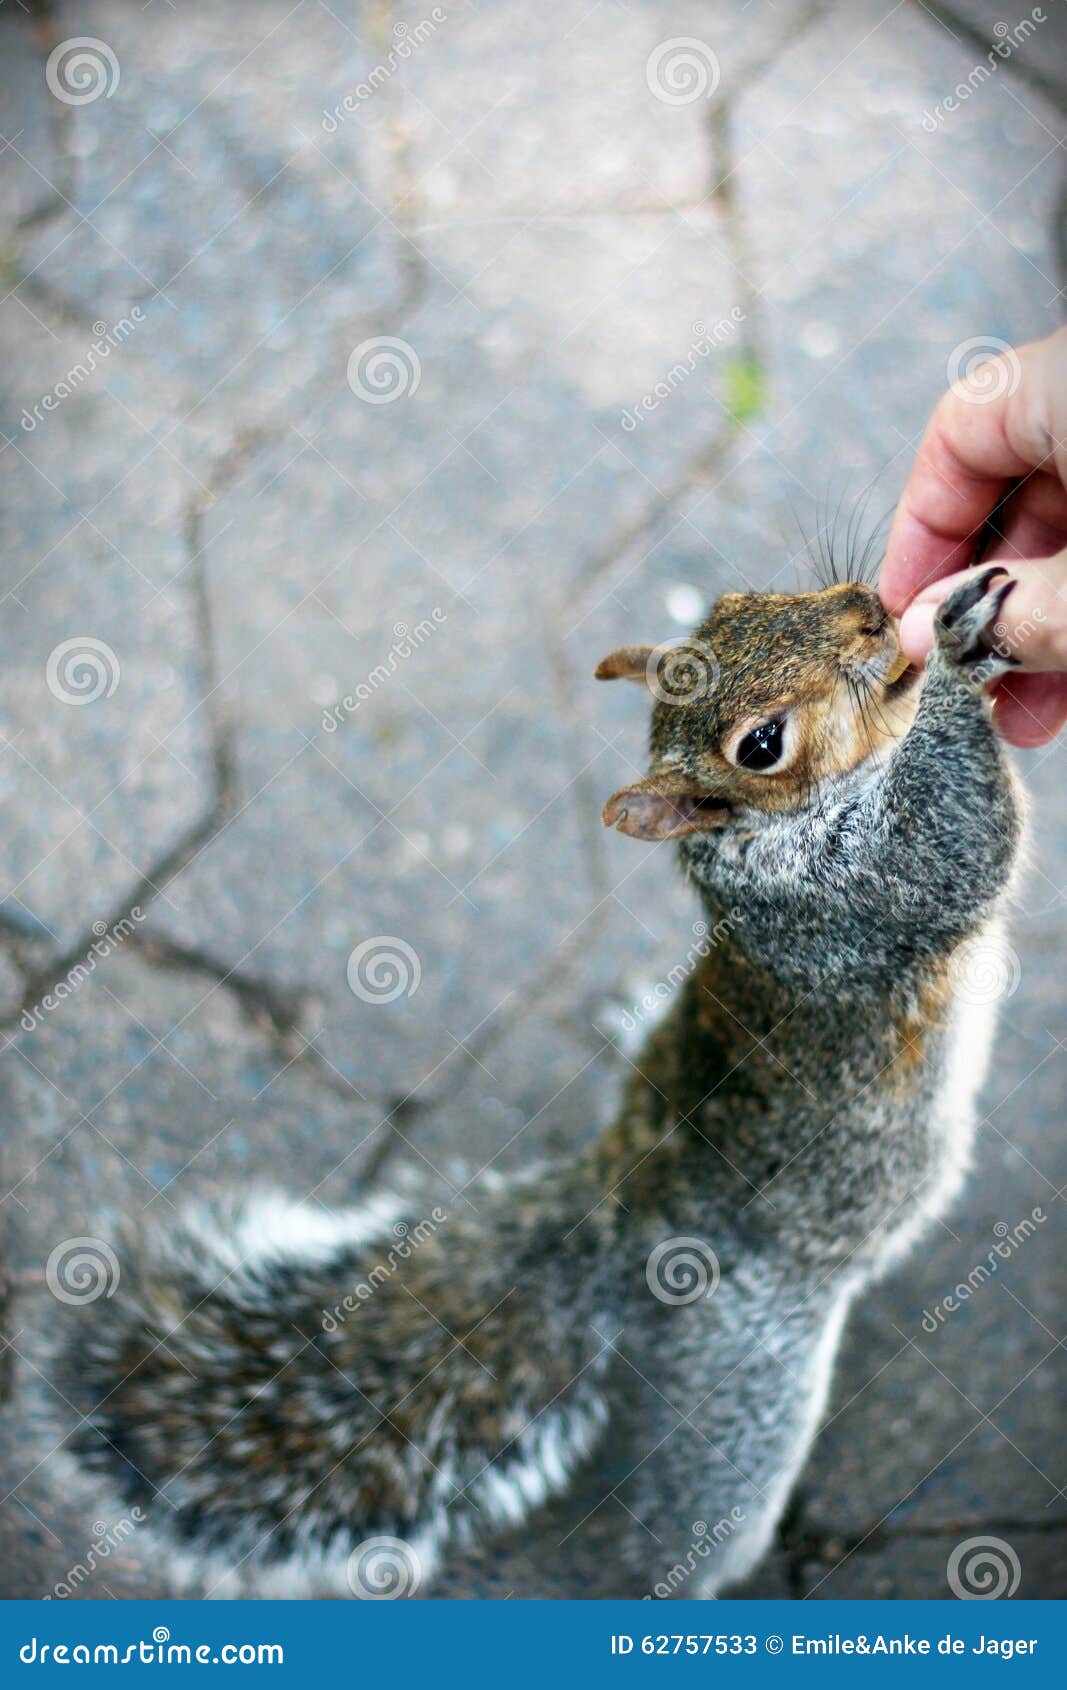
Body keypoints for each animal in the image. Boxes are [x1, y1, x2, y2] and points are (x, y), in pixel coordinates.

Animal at [52, 564, 1024, 1599]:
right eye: (760, 746)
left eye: (739, 601)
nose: (872, 612)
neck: (758, 839)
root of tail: (618, 1215)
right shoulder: (857, 891)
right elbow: (958, 827)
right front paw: (955, 647)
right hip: (743, 1372)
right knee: (701, 1514)